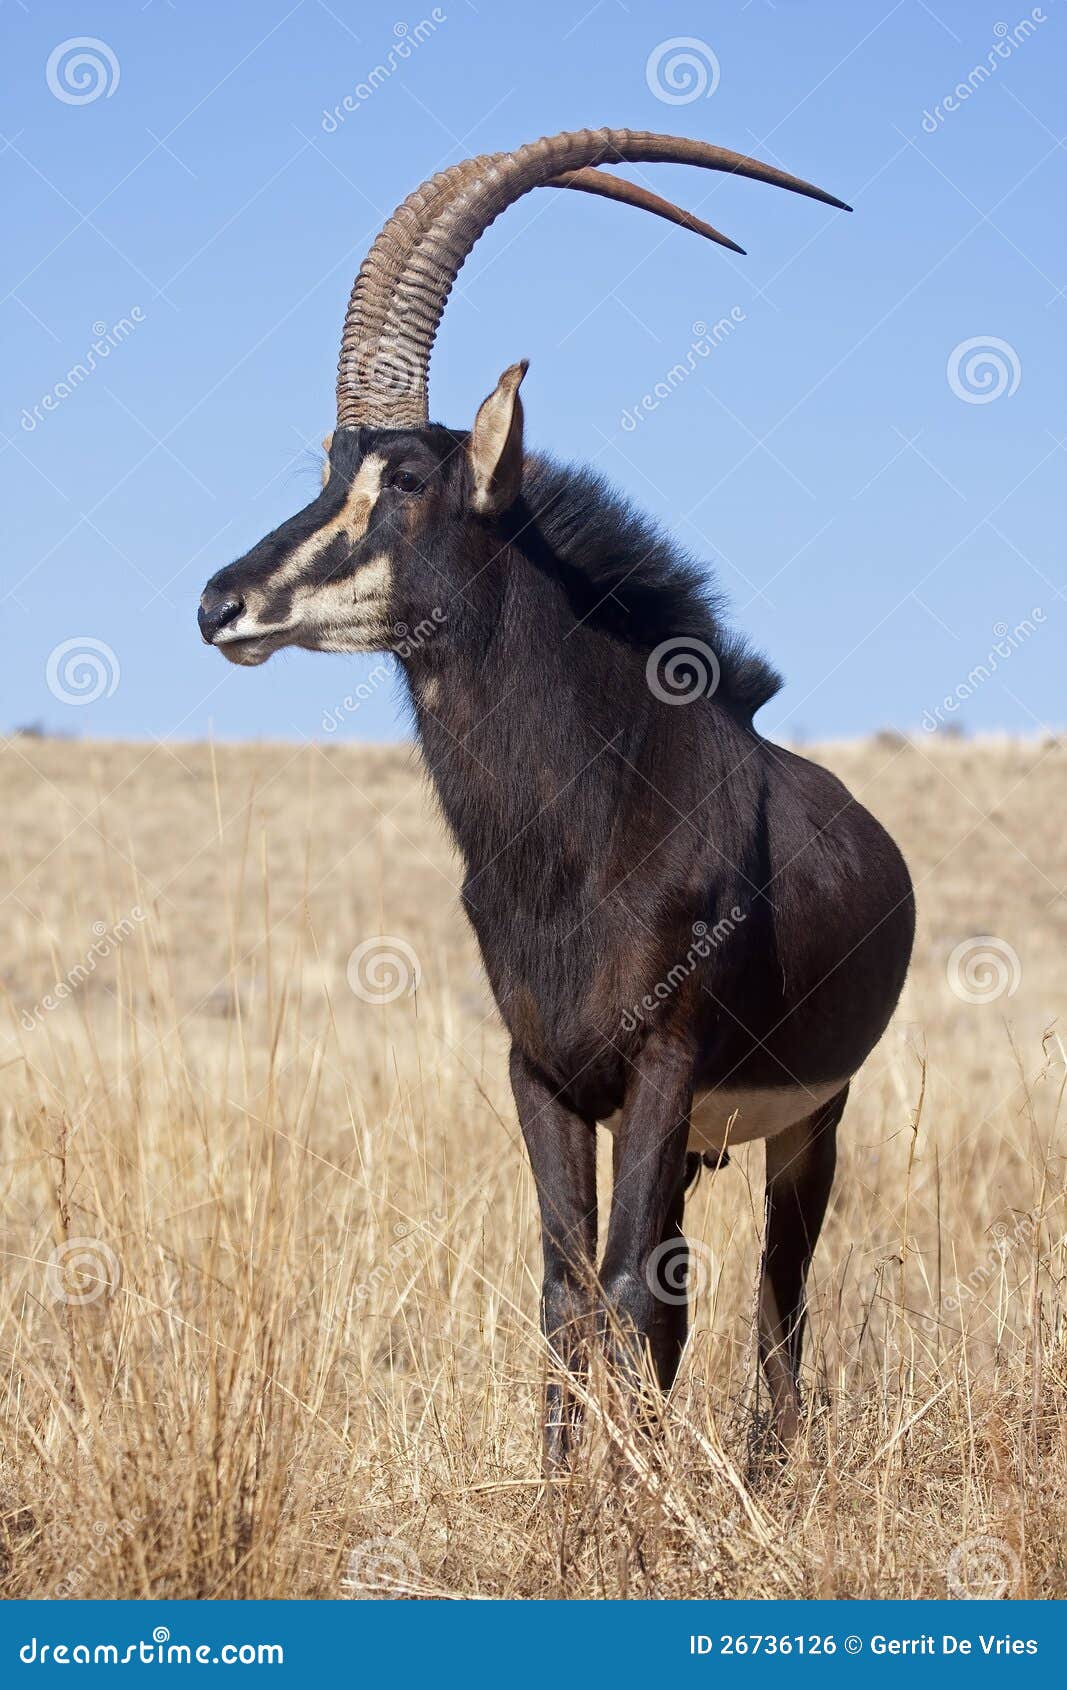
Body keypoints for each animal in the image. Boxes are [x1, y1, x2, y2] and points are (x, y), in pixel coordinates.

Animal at [198, 128, 914, 1466]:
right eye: (329, 468)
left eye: (407, 478)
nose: (222, 603)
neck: (577, 834)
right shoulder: (541, 1074)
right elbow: (565, 1286)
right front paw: (563, 1498)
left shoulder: (661, 1064)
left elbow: (626, 1289)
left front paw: (624, 1506)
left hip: (808, 1124)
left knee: (775, 1303)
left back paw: (763, 1470)